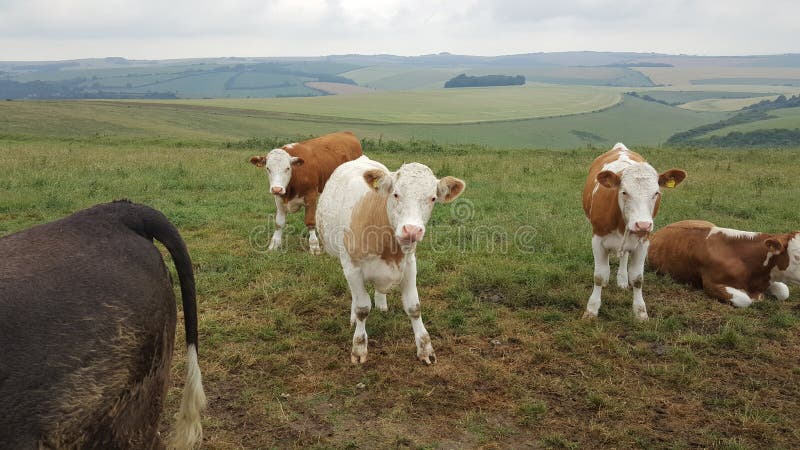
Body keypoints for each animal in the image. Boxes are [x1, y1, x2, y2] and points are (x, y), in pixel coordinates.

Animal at [316, 156, 465, 364]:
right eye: (395, 194)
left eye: (433, 198)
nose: (412, 230)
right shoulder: (352, 267)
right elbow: (362, 308)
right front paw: (359, 348)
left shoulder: (409, 265)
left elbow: (414, 307)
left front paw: (425, 348)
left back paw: (381, 303)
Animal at [581, 143, 686, 320]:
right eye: (624, 192)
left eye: (656, 193)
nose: (643, 224)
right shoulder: (597, 239)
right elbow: (599, 276)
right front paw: (592, 309)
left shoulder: (643, 242)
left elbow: (637, 279)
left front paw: (640, 311)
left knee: (624, 256)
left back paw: (623, 279)